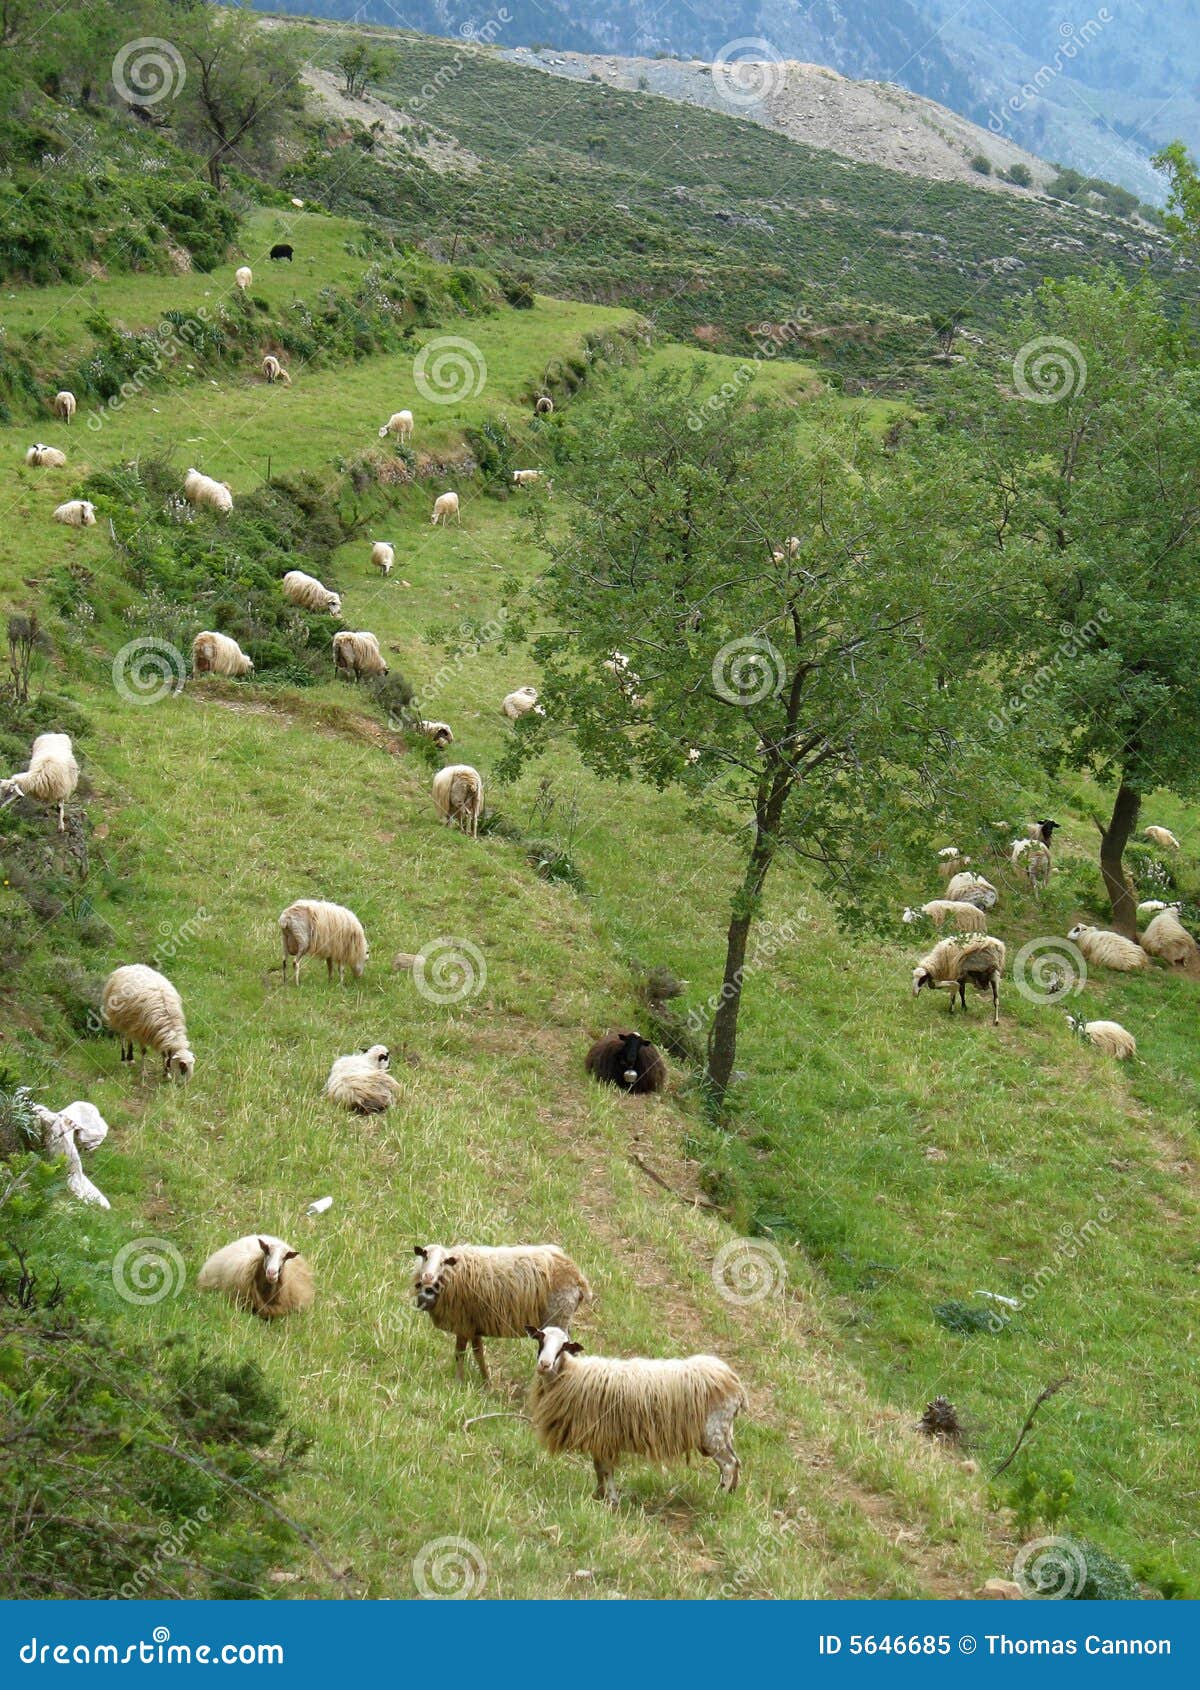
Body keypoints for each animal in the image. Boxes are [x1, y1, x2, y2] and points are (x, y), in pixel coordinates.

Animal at [413, 1243, 590, 1384]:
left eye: (443, 1262)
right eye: (425, 1256)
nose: (428, 1277)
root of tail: (578, 1277)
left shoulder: (462, 1323)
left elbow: (460, 1354)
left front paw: (458, 1383)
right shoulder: (473, 1325)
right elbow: (478, 1354)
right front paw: (487, 1385)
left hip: (557, 1317)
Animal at [526, 1325, 747, 1504]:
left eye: (563, 1347)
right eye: (540, 1339)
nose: (544, 1364)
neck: (571, 1374)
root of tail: (735, 1383)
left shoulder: (604, 1435)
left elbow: (605, 1469)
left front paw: (611, 1500)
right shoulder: (600, 1438)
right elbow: (599, 1469)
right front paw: (598, 1496)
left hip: (712, 1432)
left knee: (728, 1465)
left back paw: (718, 1498)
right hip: (724, 1431)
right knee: (736, 1462)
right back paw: (731, 1494)